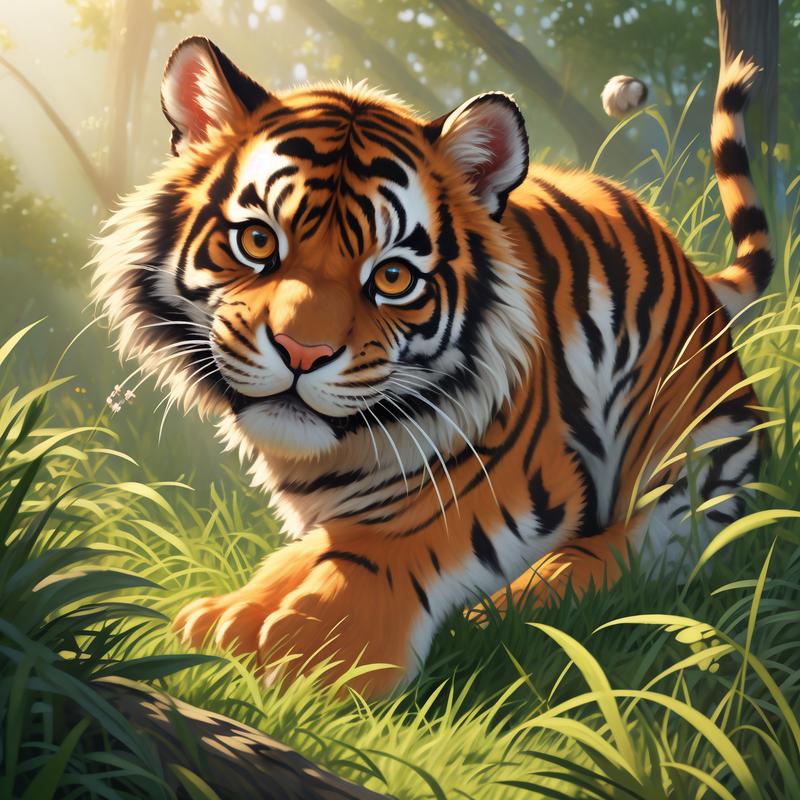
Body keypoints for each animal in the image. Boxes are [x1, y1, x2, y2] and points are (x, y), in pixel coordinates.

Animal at [92, 37, 772, 697]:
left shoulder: (508, 475)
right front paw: (229, 618)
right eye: (258, 241)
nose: (302, 352)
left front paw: (322, 651)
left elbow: (397, 541)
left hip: (695, 462)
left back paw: (517, 603)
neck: (344, 449)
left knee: (634, 544)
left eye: (392, 276)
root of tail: (701, 283)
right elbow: (319, 543)